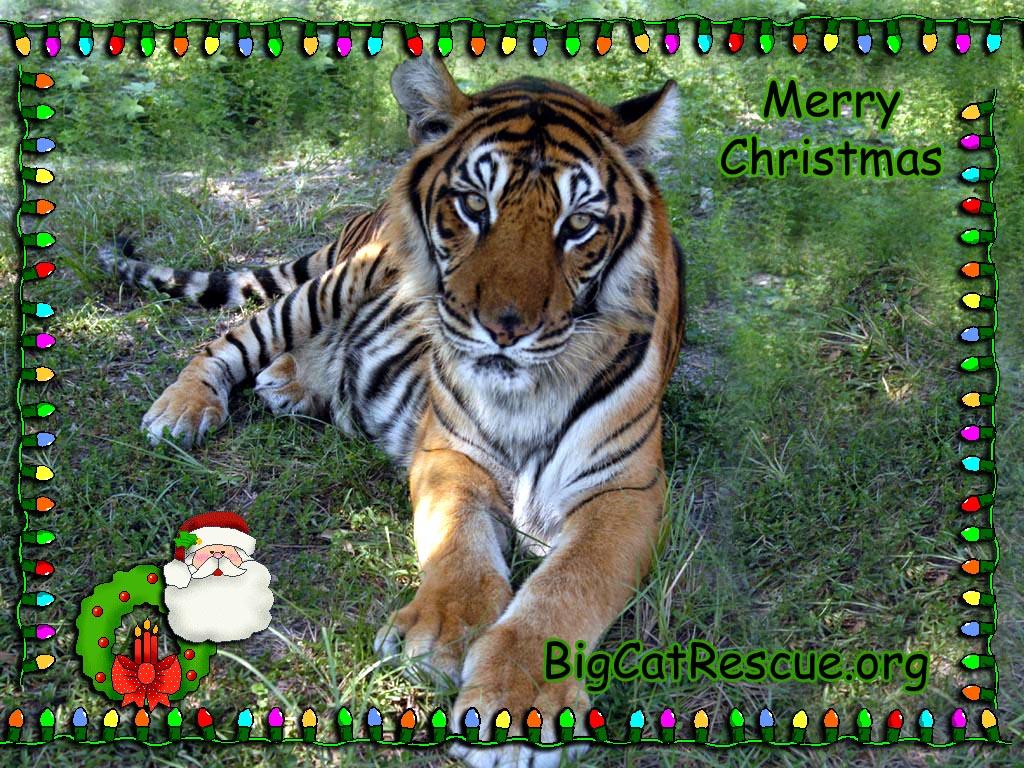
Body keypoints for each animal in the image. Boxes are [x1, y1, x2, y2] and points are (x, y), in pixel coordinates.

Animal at [102, 55, 685, 767]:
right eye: (474, 205)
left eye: (578, 225)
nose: (505, 328)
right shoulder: (449, 452)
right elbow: (459, 548)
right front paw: (432, 638)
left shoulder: (627, 491)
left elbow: (570, 585)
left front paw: (516, 705)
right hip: (332, 285)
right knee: (227, 342)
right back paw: (181, 411)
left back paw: (292, 386)